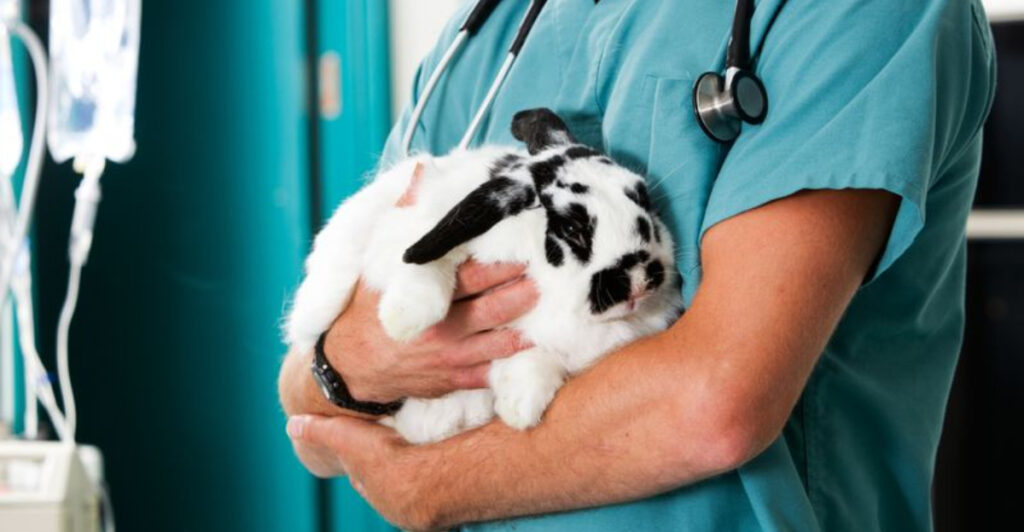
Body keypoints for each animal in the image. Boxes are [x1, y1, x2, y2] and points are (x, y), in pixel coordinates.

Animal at [285, 108, 683, 444]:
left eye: (644, 199)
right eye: (572, 227)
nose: (639, 279)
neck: (552, 290)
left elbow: (534, 357)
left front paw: (520, 407)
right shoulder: (414, 232)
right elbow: (426, 264)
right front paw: (405, 320)